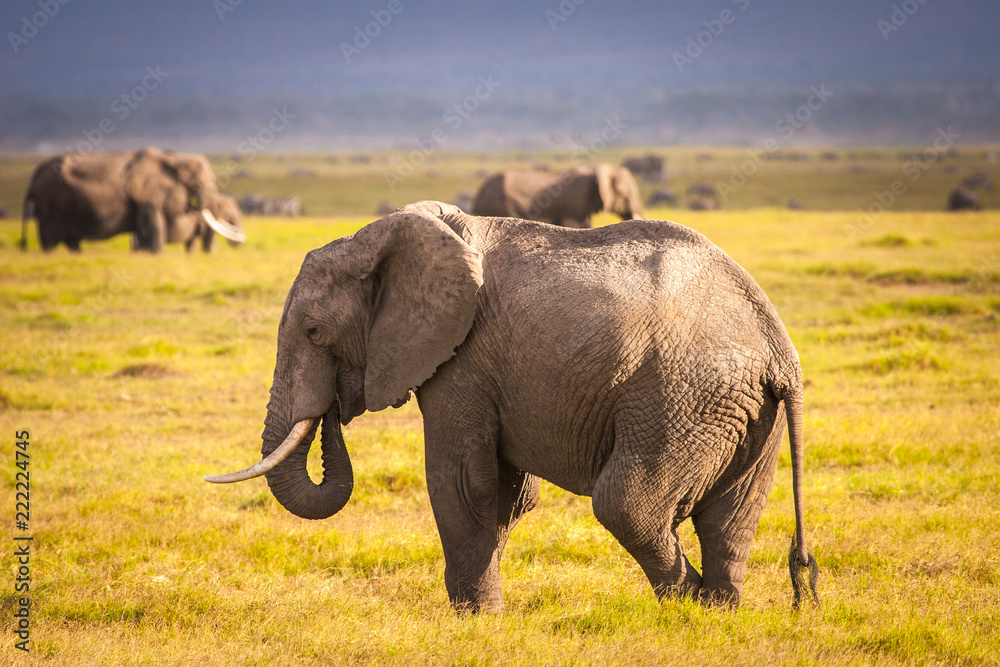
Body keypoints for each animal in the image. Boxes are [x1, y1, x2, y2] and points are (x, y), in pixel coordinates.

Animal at [20, 147, 244, 252]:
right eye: (200, 183)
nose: (240, 241)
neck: (176, 158)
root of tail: (33, 178)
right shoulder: (146, 197)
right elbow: (152, 227)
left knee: (70, 242)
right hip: (50, 204)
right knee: (50, 240)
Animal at [205, 201, 819, 613]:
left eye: (314, 331)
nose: (336, 405)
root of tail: (779, 350)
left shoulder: (464, 358)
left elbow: (462, 481)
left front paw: (473, 619)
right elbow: (504, 493)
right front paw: (487, 616)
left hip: (682, 398)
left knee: (627, 504)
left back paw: (687, 604)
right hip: (743, 411)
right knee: (730, 520)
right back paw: (717, 614)